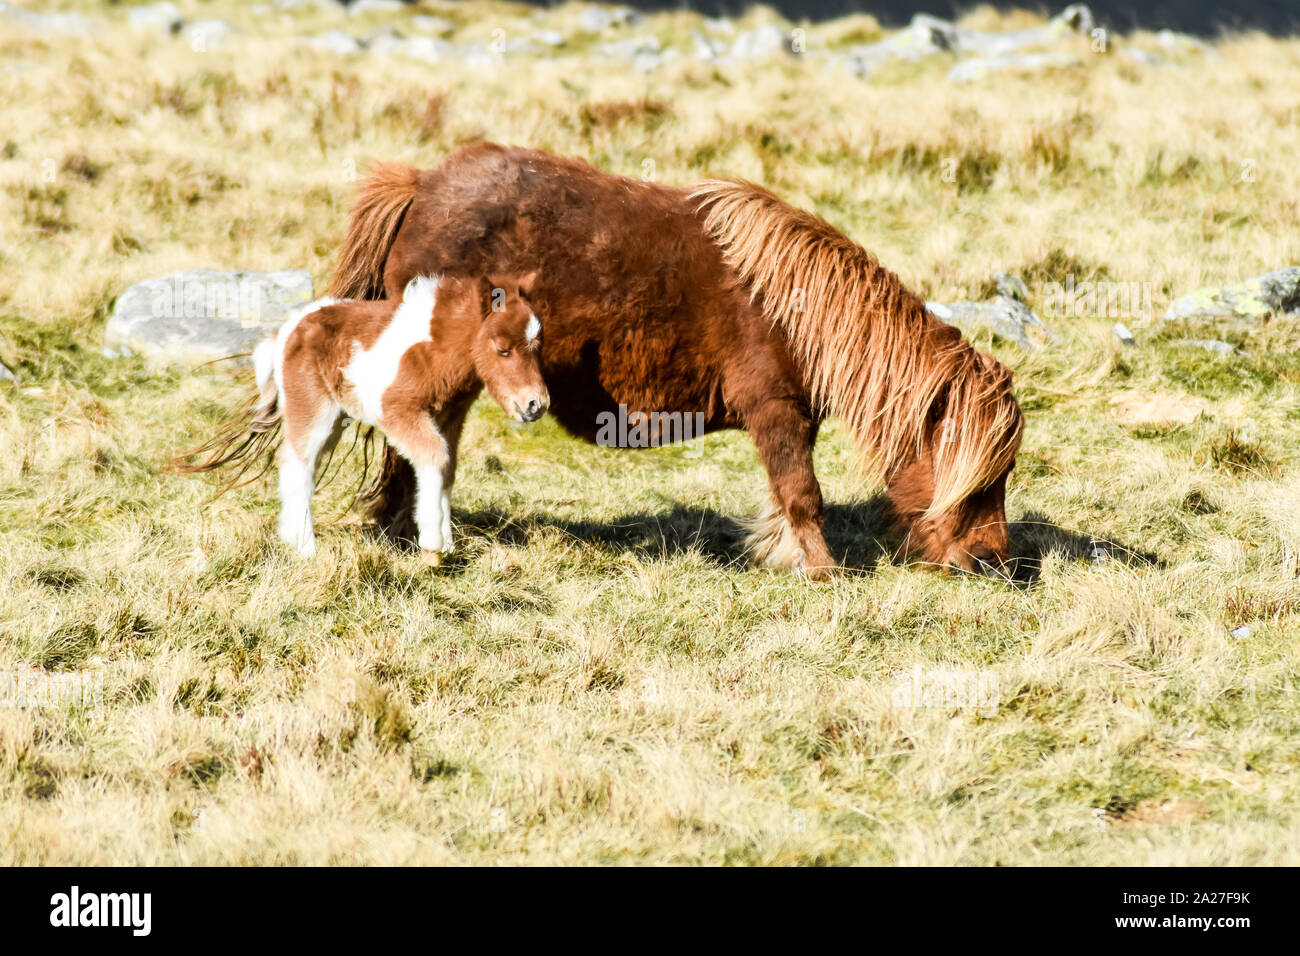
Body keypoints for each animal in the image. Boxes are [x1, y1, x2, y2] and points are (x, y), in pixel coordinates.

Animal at [174, 272, 548, 563]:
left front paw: (447, 544)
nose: (536, 404)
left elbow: (448, 468)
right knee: (298, 465)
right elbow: (434, 456)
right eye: (502, 349)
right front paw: (431, 545)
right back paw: (306, 547)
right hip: (314, 410)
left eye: (538, 345)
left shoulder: (452, 417)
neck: (434, 349)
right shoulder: (398, 410)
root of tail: (286, 331)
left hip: (333, 420)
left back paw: (292, 538)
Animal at [330, 143, 1024, 578]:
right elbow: (803, 496)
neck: (798, 309)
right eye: (983, 480)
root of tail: (422, 188)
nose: (992, 562)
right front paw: (823, 573)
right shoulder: (776, 411)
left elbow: (789, 497)